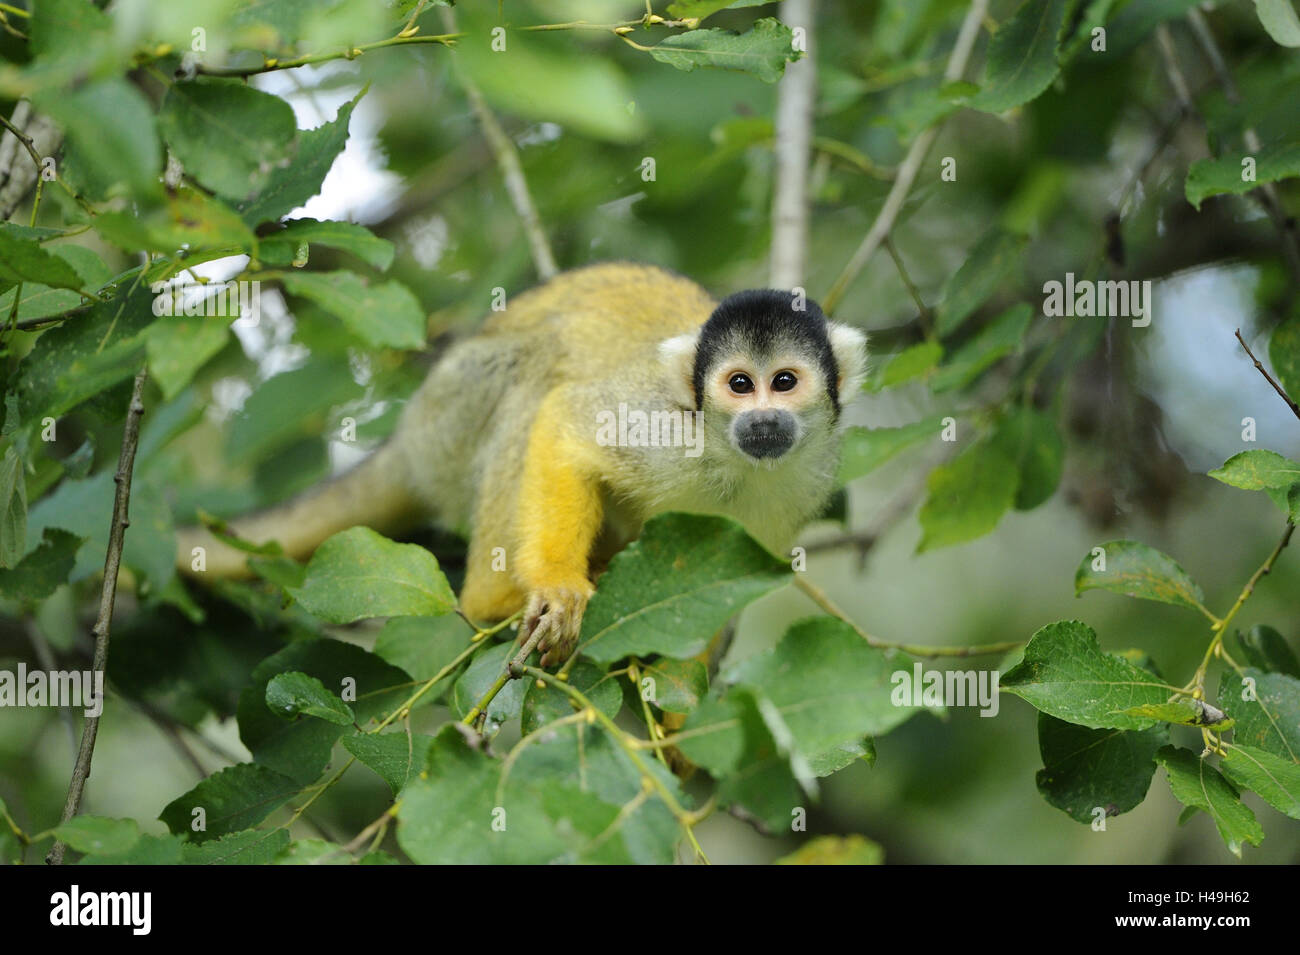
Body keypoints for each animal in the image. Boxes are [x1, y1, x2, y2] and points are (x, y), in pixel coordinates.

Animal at [177, 262, 867, 668]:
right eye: (739, 385)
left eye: (784, 382)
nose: (763, 421)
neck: (736, 464)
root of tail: (409, 435)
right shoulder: (666, 427)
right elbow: (564, 422)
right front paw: (559, 589)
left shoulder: (800, 488)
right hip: (452, 416)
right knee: (536, 374)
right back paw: (496, 594)